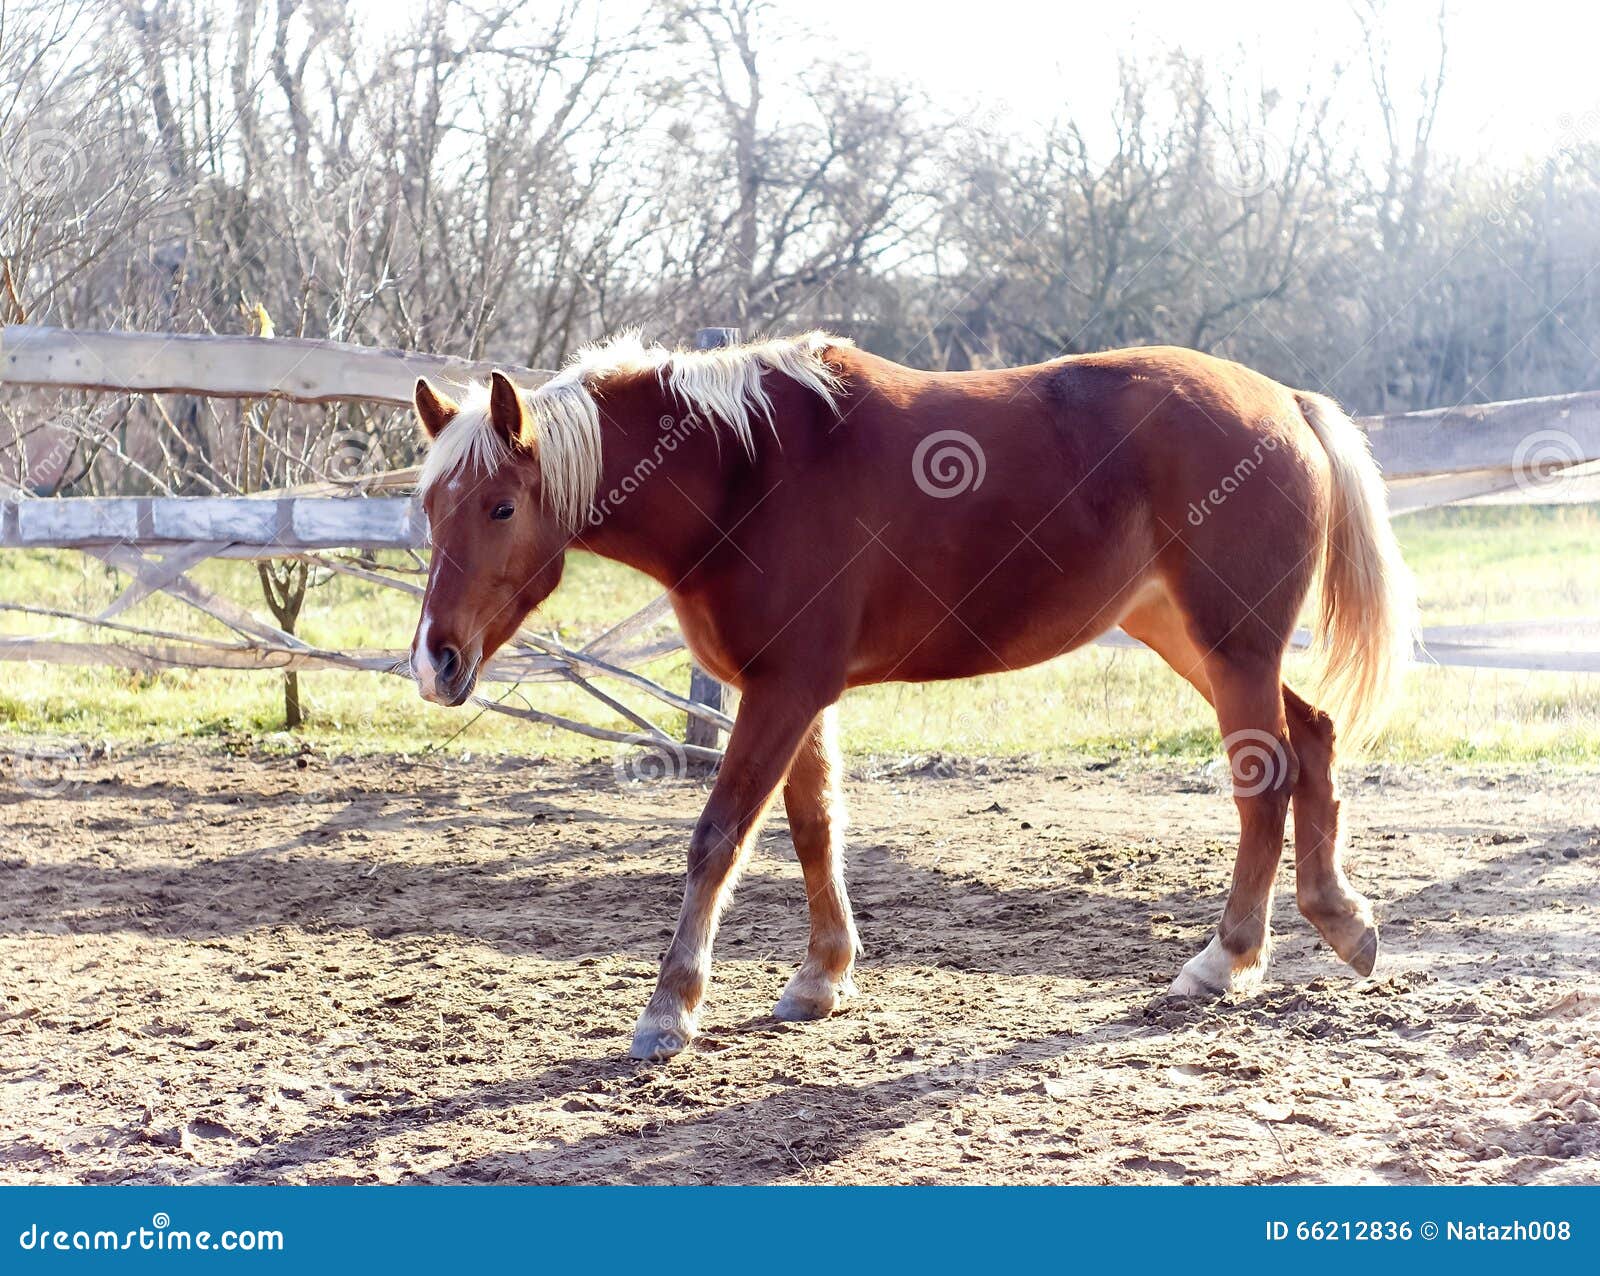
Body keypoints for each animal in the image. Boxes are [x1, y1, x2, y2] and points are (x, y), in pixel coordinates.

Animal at [407, 331, 1416, 1061]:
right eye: (428, 506)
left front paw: (669, 1011)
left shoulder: (783, 693)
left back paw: (1225, 960)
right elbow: (815, 829)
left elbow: (718, 838)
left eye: (501, 506)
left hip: (1232, 647)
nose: (435, 662)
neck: (745, 474)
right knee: (1314, 738)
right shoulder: (795, 692)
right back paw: (1343, 921)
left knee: (1265, 783)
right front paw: (820, 978)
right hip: (1193, 637)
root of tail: (1286, 402)